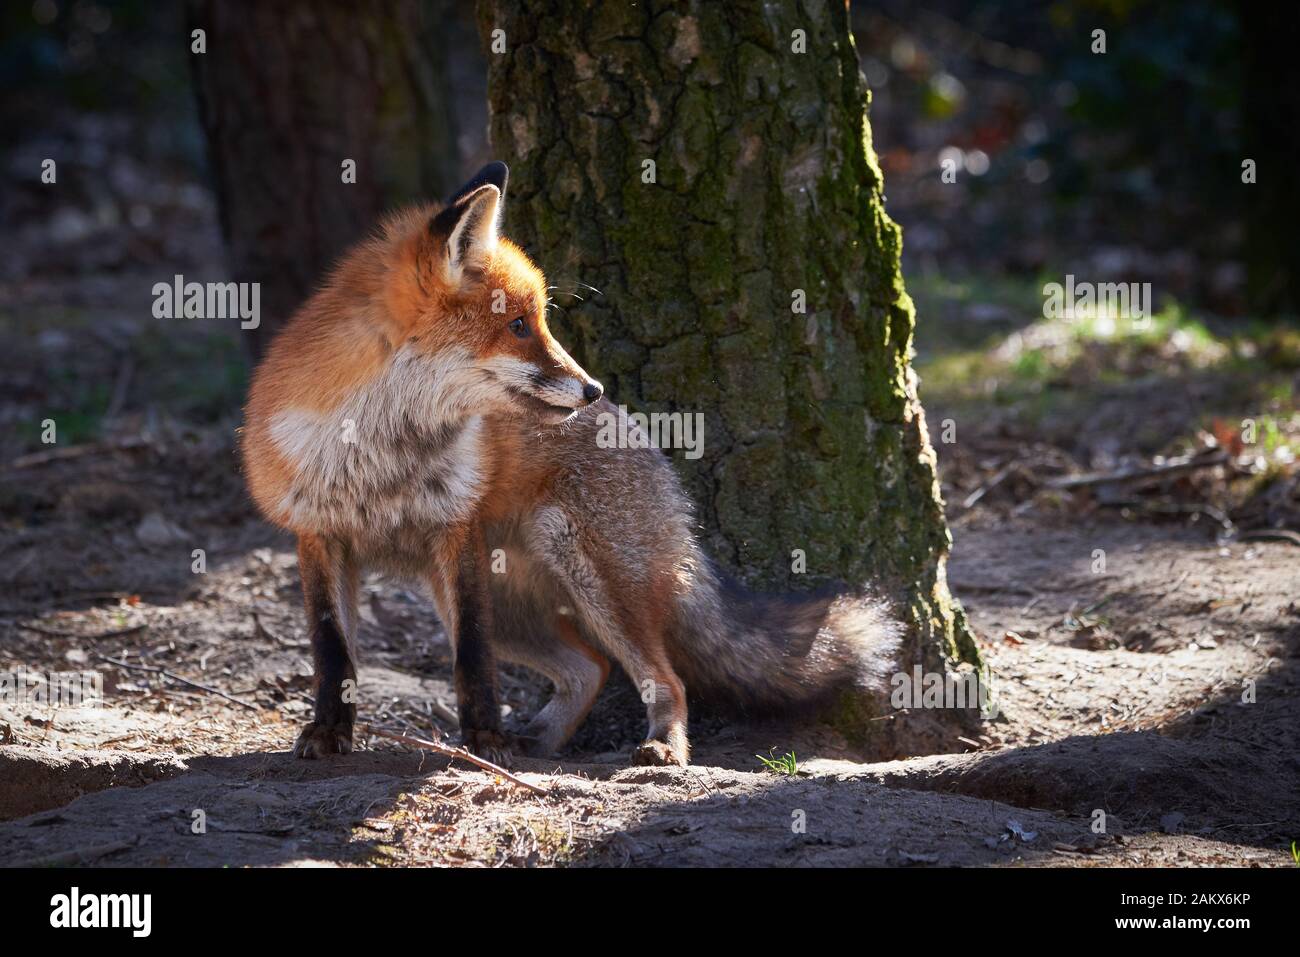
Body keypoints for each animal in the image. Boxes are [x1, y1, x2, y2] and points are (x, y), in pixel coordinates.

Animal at [241, 161, 903, 767]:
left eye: (541, 321)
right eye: (517, 325)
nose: (592, 388)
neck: (383, 456)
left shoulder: (457, 534)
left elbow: (471, 659)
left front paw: (484, 740)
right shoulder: (318, 534)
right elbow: (332, 652)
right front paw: (329, 733)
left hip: (583, 568)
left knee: (660, 676)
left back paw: (660, 747)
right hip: (504, 607)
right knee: (590, 668)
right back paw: (540, 741)